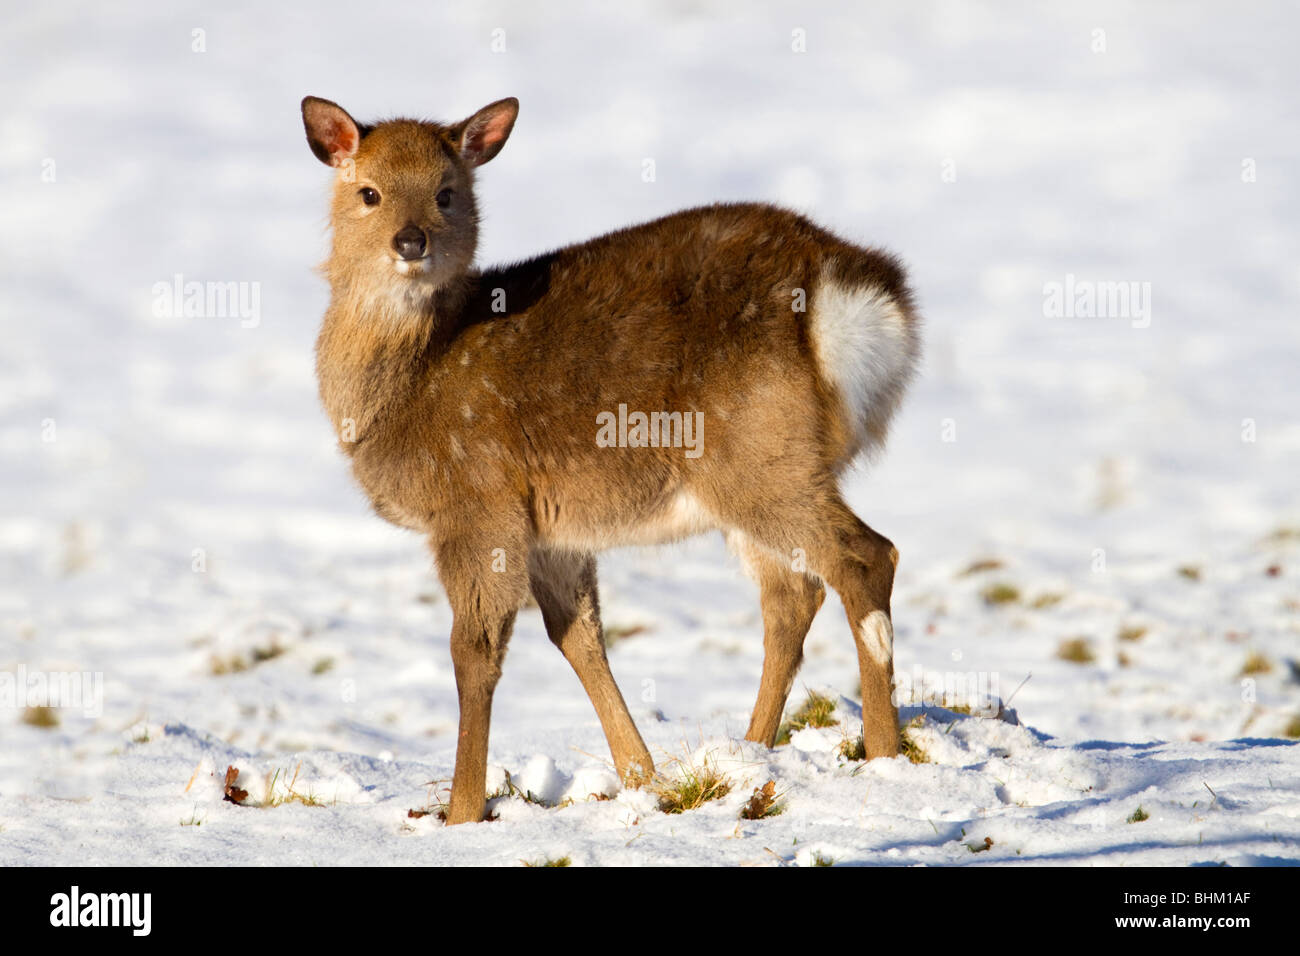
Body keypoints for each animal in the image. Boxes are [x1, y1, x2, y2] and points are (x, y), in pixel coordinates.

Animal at [300, 94, 921, 824]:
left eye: (446, 192)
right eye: (367, 192)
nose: (411, 241)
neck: (406, 386)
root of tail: (856, 294)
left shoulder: (476, 503)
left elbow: (473, 651)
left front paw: (461, 812)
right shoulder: (551, 531)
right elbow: (578, 635)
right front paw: (641, 776)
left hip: (761, 454)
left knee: (865, 556)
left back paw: (882, 754)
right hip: (762, 474)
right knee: (793, 594)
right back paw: (750, 751)